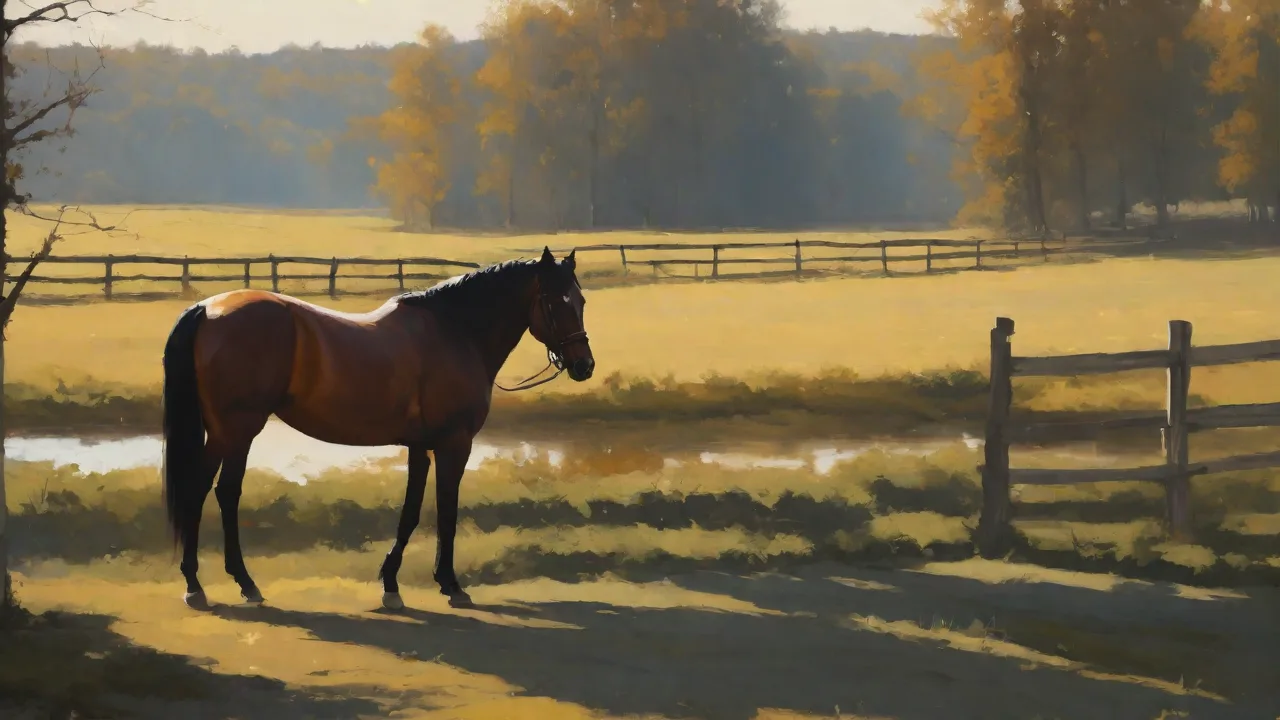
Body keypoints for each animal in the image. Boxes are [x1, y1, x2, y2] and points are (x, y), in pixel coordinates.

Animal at [161, 247, 594, 611]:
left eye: (581, 301)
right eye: (555, 301)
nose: (584, 365)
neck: (454, 331)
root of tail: (207, 308)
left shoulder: (420, 447)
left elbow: (411, 513)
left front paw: (391, 584)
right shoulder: (454, 446)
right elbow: (447, 512)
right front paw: (451, 584)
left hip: (228, 432)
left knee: (212, 492)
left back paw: (217, 582)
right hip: (235, 431)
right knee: (215, 492)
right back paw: (217, 584)